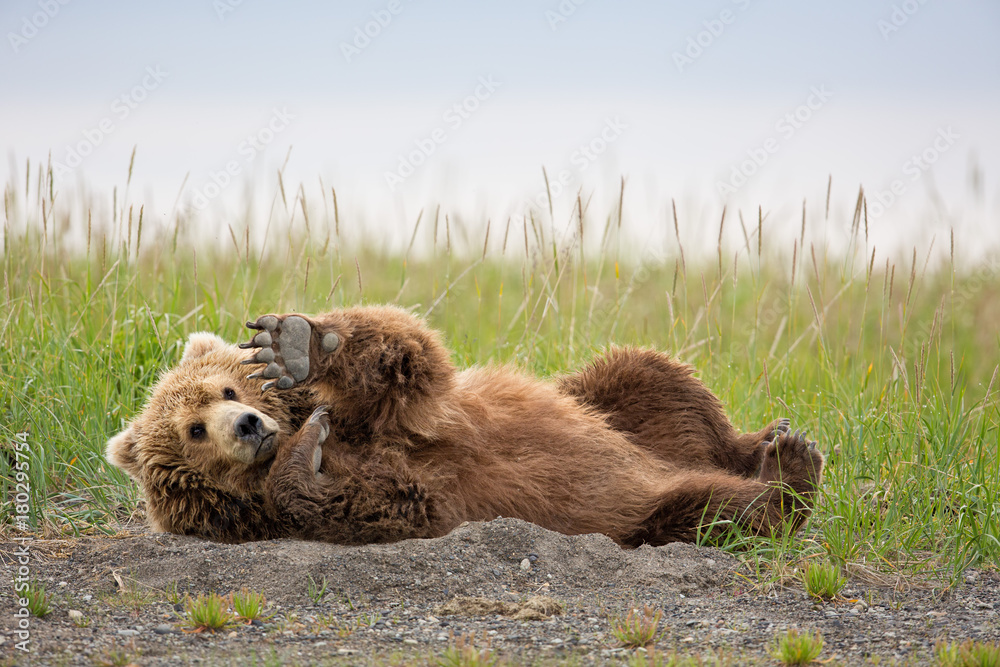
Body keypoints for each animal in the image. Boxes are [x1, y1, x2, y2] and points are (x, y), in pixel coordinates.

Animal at [106, 305, 824, 547]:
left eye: (227, 388)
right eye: (195, 431)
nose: (250, 425)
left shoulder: (406, 414)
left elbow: (406, 356)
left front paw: (297, 343)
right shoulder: (405, 489)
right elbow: (384, 503)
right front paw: (300, 457)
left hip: (622, 410)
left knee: (652, 378)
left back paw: (775, 444)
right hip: (639, 511)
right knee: (708, 511)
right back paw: (785, 477)